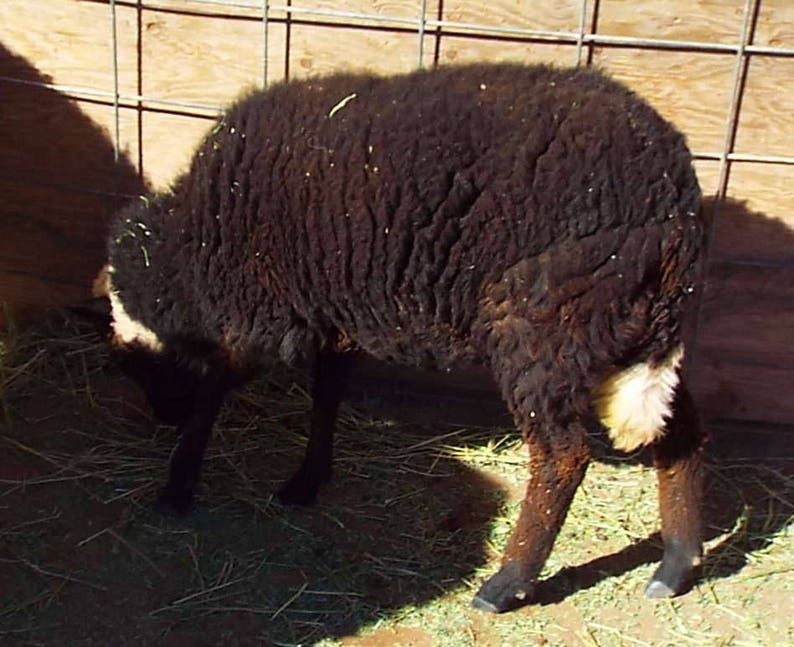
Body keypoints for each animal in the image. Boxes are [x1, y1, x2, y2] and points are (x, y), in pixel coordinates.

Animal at [96, 62, 708, 613]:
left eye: (140, 364)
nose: (163, 417)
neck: (192, 250)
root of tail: (677, 203)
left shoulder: (256, 316)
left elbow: (213, 393)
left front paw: (178, 484)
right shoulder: (331, 315)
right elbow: (327, 394)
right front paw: (307, 480)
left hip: (543, 331)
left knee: (563, 457)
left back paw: (507, 583)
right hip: (631, 330)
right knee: (680, 428)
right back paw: (677, 563)